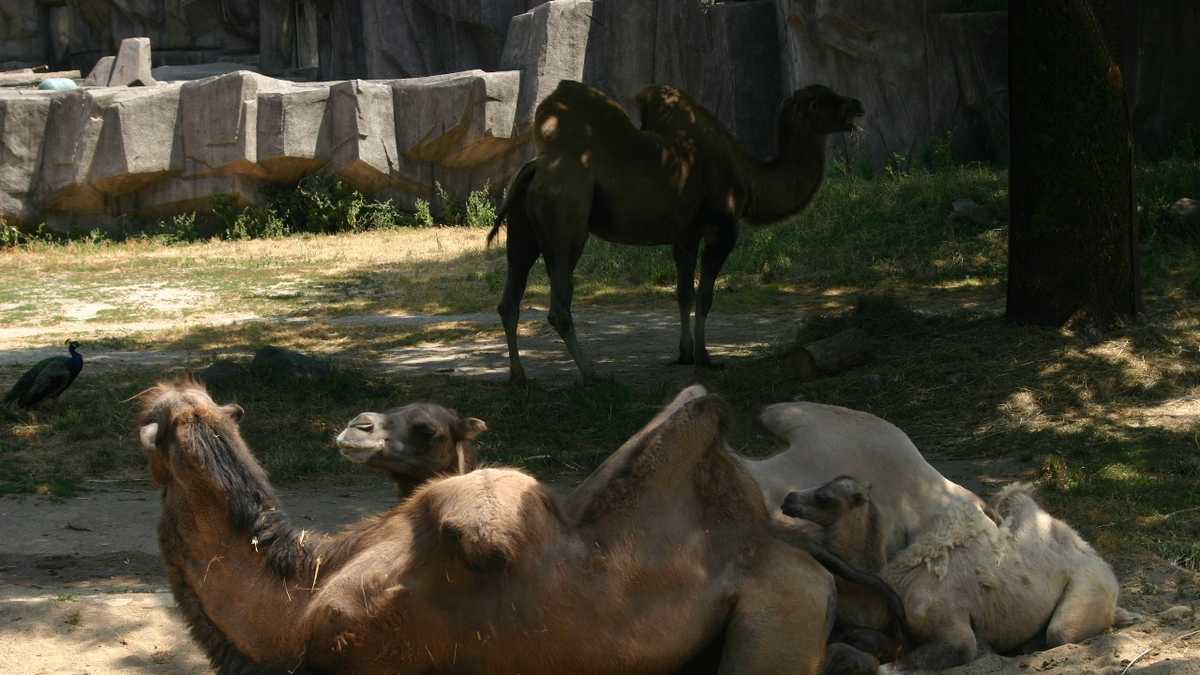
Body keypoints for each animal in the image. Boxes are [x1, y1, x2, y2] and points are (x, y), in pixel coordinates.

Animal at [488, 80, 864, 382]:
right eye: (825, 101)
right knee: (559, 303)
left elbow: (683, 293)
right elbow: (705, 296)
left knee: (510, 299)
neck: (748, 176)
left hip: (523, 230)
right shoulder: (722, 229)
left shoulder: (684, 234)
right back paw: (592, 373)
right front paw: (705, 358)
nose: (858, 104)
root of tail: (535, 168)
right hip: (567, 221)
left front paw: (684, 354)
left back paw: (519, 375)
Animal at [783, 477, 1130, 672]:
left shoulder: (952, 630)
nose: (788, 499)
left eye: (825, 498)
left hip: (1089, 586)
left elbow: (906, 663)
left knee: (1061, 632)